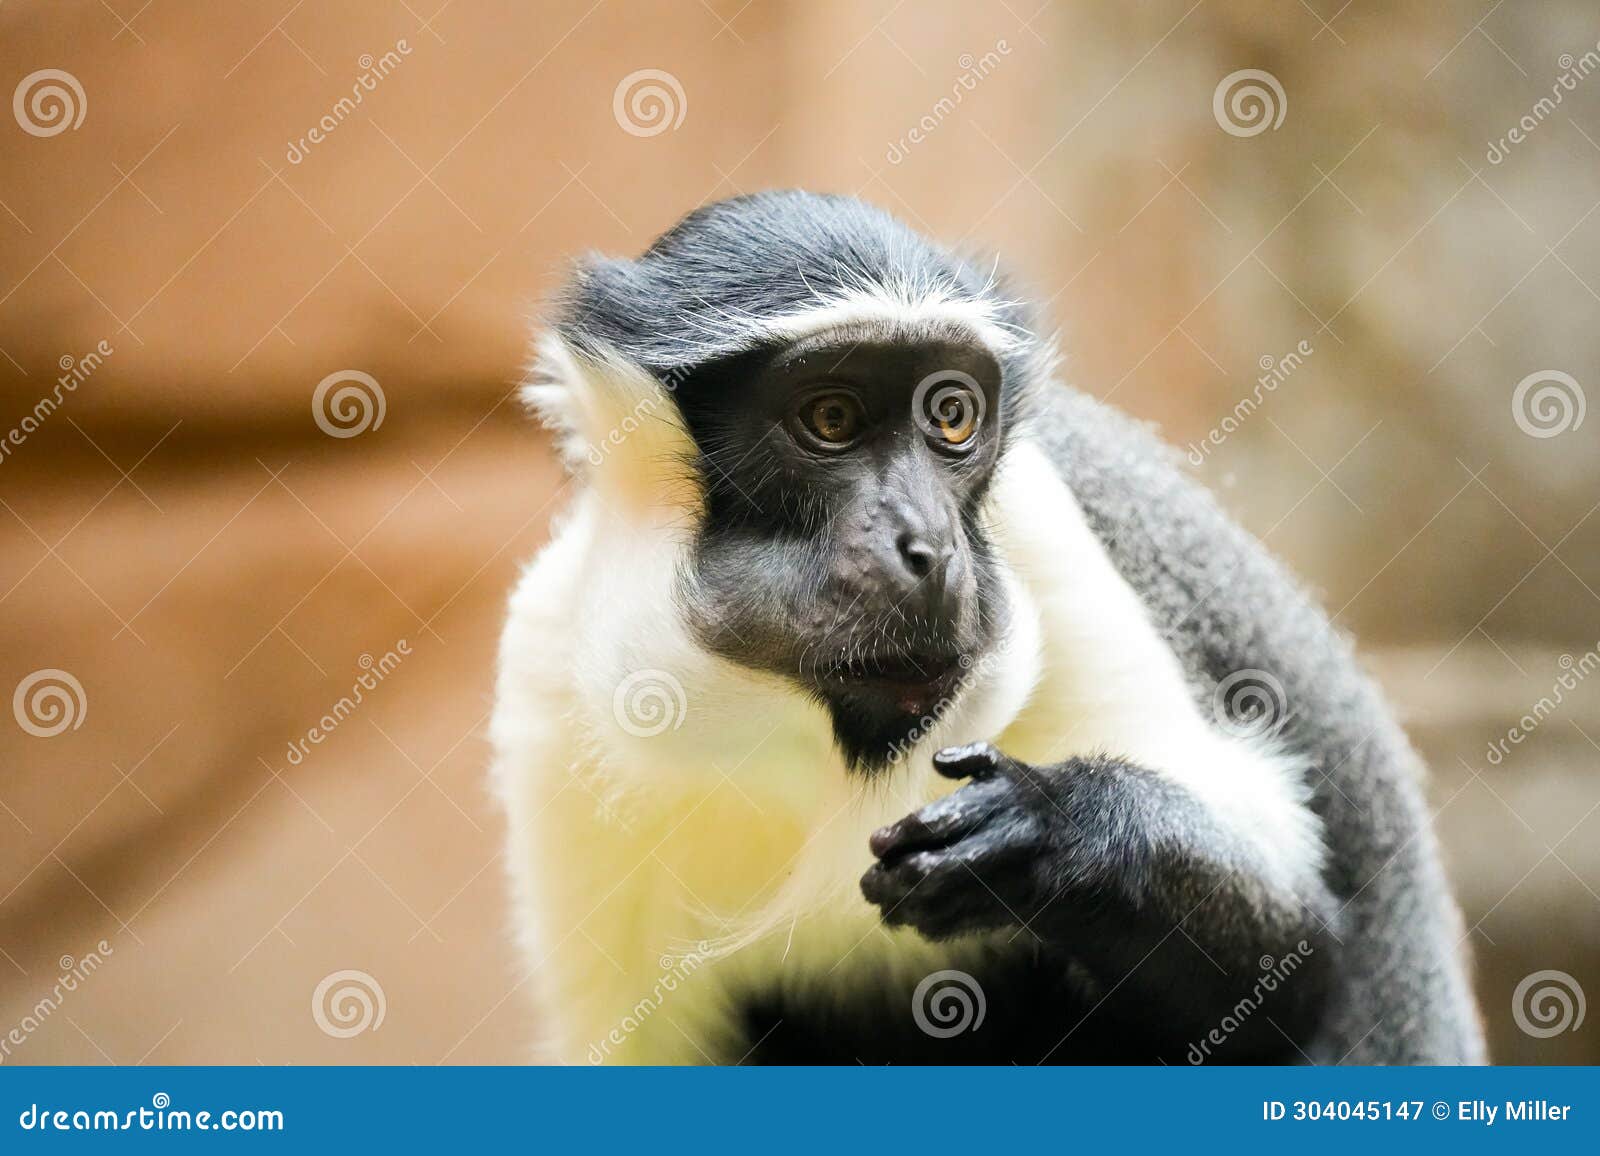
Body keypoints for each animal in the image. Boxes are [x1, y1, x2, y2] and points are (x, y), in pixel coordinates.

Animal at [489, 190, 1486, 1065]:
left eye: (952, 415)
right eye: (831, 418)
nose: (930, 547)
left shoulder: (1051, 542)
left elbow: (1292, 965)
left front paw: (1058, 834)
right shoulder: (548, 683)